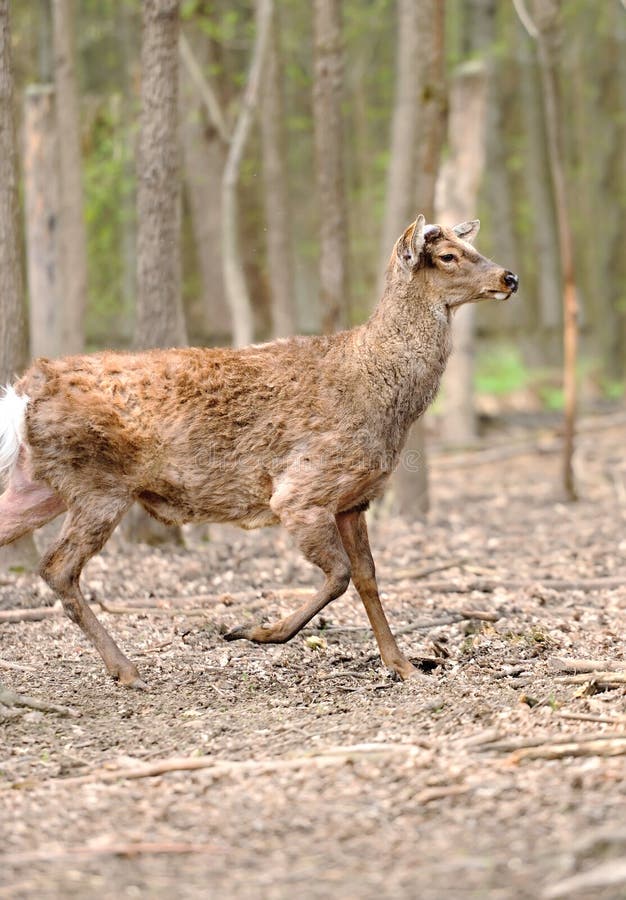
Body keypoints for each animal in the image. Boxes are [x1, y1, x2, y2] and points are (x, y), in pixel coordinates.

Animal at [0, 216, 518, 689]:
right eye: (447, 256)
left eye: (472, 247)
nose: (509, 277)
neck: (381, 399)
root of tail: (25, 391)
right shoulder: (302, 490)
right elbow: (339, 575)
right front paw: (254, 631)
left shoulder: (355, 499)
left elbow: (368, 577)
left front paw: (403, 665)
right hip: (98, 485)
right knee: (58, 567)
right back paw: (127, 669)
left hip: (41, 486)